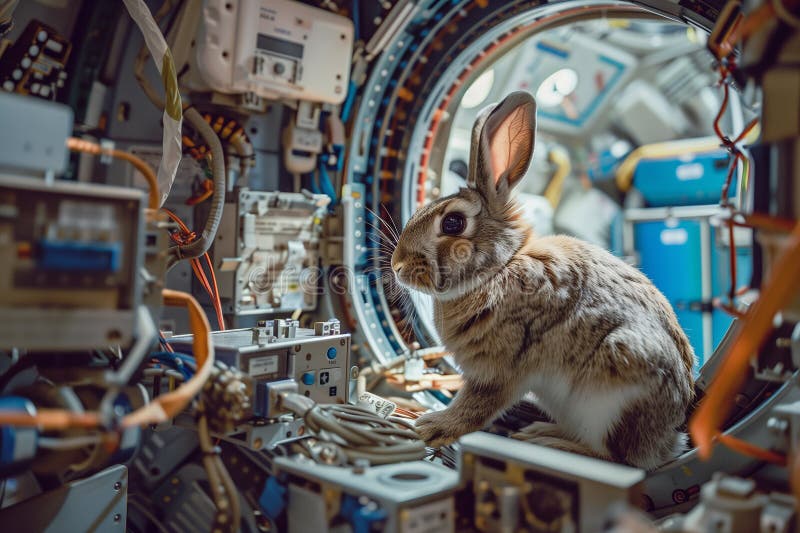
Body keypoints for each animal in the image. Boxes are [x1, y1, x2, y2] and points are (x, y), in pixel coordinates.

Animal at [390, 91, 695, 470]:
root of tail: (668, 443)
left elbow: (473, 407)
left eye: (452, 223)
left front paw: (429, 427)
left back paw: (546, 441)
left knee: (615, 457)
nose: (397, 266)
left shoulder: (498, 371)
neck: (499, 268)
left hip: (613, 392)